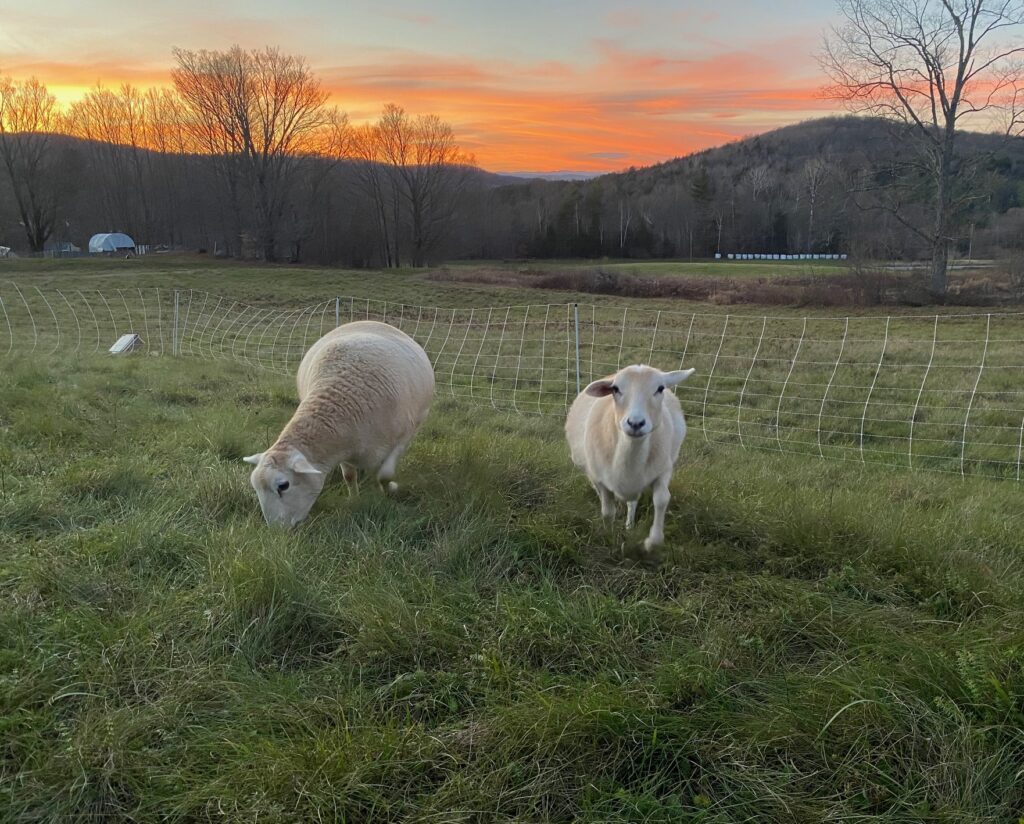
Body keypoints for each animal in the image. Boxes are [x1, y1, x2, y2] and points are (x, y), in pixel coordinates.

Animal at [243, 320, 434, 527]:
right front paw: (355, 498)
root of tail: (369, 321)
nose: (276, 530)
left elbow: (385, 475)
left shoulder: (403, 438)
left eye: (283, 486)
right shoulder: (344, 445)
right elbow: (349, 476)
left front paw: (390, 490)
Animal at [565, 364, 695, 550]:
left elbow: (661, 499)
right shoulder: (600, 479)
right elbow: (607, 511)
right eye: (615, 389)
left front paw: (652, 542)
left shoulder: (663, 470)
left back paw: (629, 524)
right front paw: (608, 535)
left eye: (660, 388)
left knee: (632, 502)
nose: (635, 423)